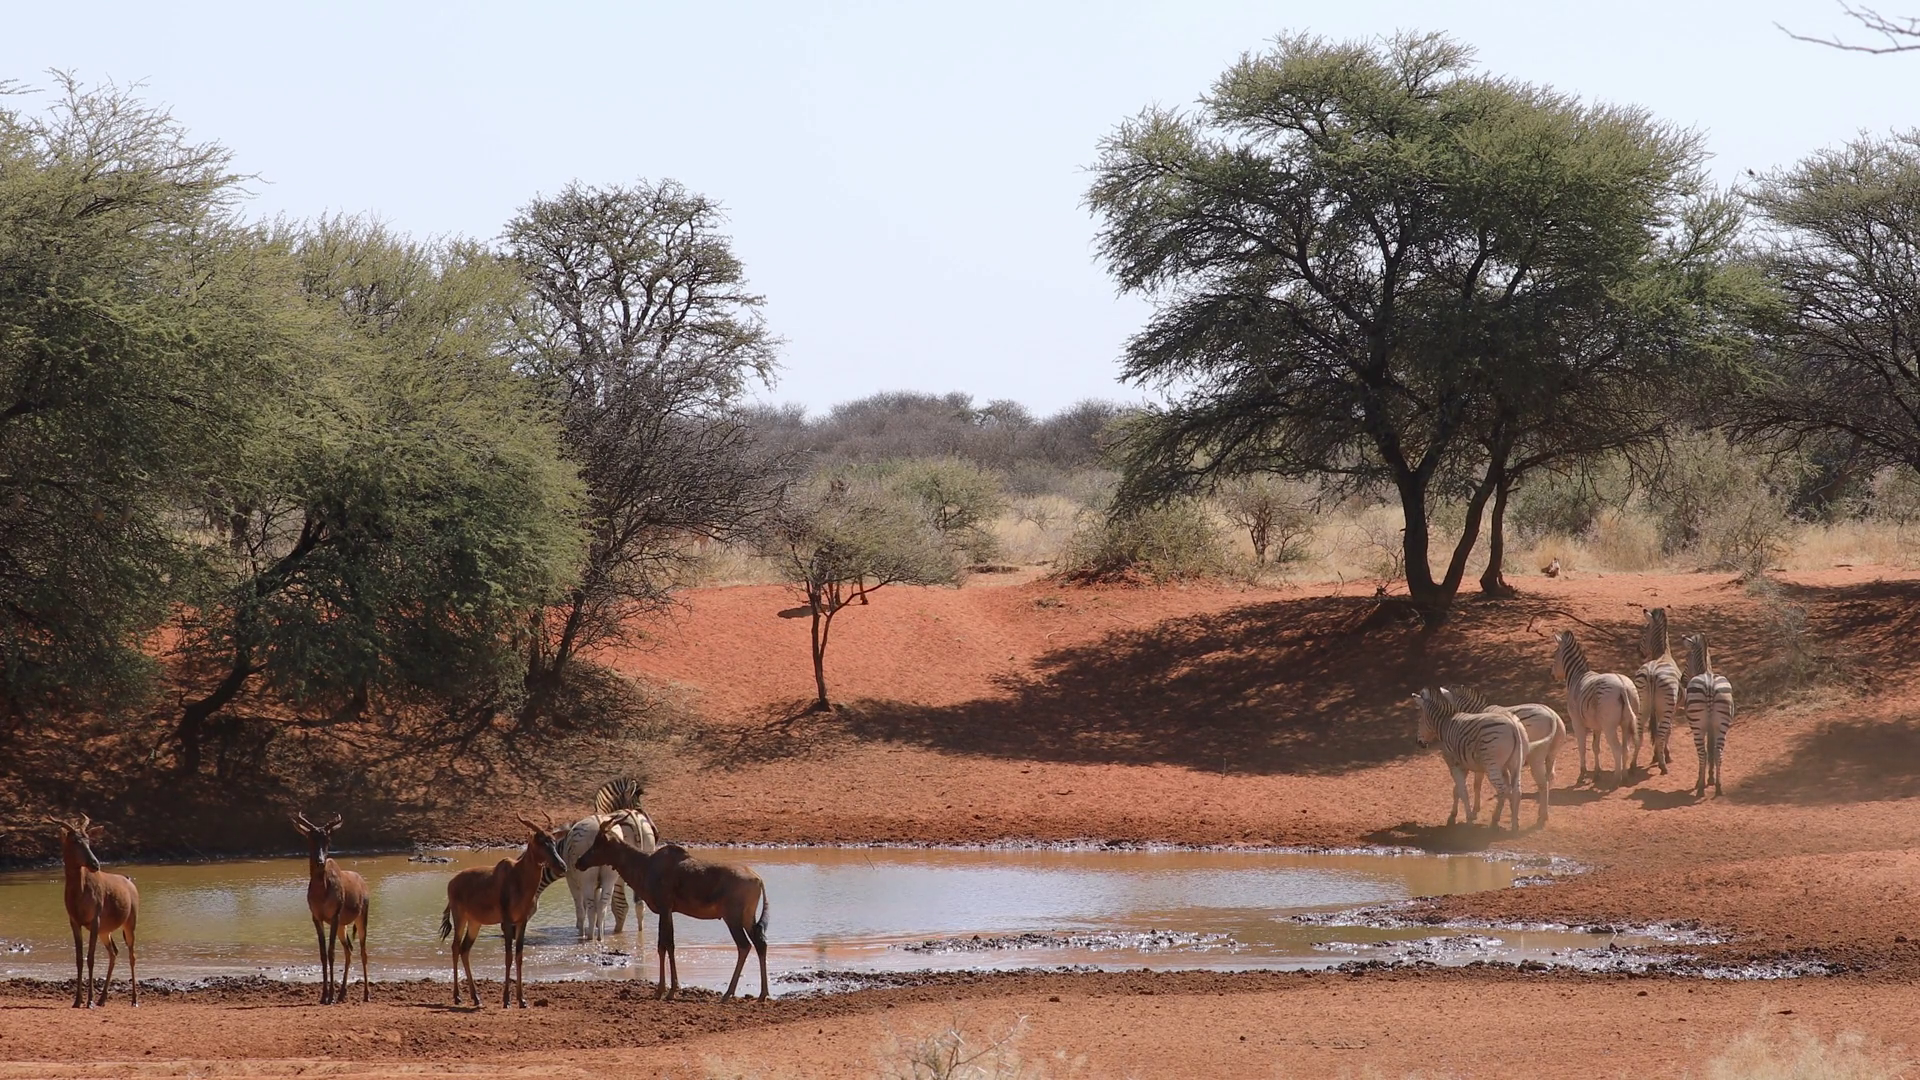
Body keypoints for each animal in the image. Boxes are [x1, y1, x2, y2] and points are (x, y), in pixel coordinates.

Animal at [1411, 688, 1530, 832]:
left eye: (1419, 722)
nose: (1419, 743)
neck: (1445, 725)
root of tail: (1513, 724)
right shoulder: (1466, 766)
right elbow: (1458, 789)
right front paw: (1455, 814)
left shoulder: (1454, 764)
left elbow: (1463, 791)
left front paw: (1468, 819)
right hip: (1514, 764)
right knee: (1516, 791)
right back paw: (1514, 824)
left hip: (1492, 767)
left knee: (1504, 791)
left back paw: (1496, 821)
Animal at [1440, 686, 1566, 827]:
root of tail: (1552, 715)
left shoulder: (1481, 763)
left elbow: (1474, 785)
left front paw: (1473, 811)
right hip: (1551, 755)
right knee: (1549, 778)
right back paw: (1543, 814)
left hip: (1536, 756)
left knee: (1543, 782)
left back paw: (1541, 816)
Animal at [1551, 630, 1641, 788]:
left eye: (1555, 655)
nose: (1552, 674)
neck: (1577, 676)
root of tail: (1622, 686)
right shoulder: (1597, 726)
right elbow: (1595, 747)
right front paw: (1597, 773)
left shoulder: (1577, 723)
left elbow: (1582, 748)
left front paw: (1582, 774)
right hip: (1626, 723)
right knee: (1626, 748)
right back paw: (1624, 776)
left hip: (1609, 727)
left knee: (1617, 749)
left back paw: (1616, 779)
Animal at [1633, 608, 1684, 776]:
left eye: (1644, 632)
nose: (1638, 651)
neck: (1662, 654)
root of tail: (1652, 674)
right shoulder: (1672, 708)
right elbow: (1667, 731)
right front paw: (1665, 755)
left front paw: (1656, 755)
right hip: (1666, 707)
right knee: (1661, 733)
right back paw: (1663, 766)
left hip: (1642, 705)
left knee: (1639, 732)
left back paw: (1632, 765)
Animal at [1681, 633, 1736, 797]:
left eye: (1687, 658)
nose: (1682, 681)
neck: (1706, 670)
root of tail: (1710, 684)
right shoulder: (1712, 727)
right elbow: (1712, 748)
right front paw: (1711, 778)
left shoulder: (1705, 727)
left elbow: (1707, 751)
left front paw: (1703, 780)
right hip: (1722, 724)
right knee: (1718, 752)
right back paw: (1718, 786)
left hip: (1697, 726)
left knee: (1702, 753)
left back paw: (1700, 787)